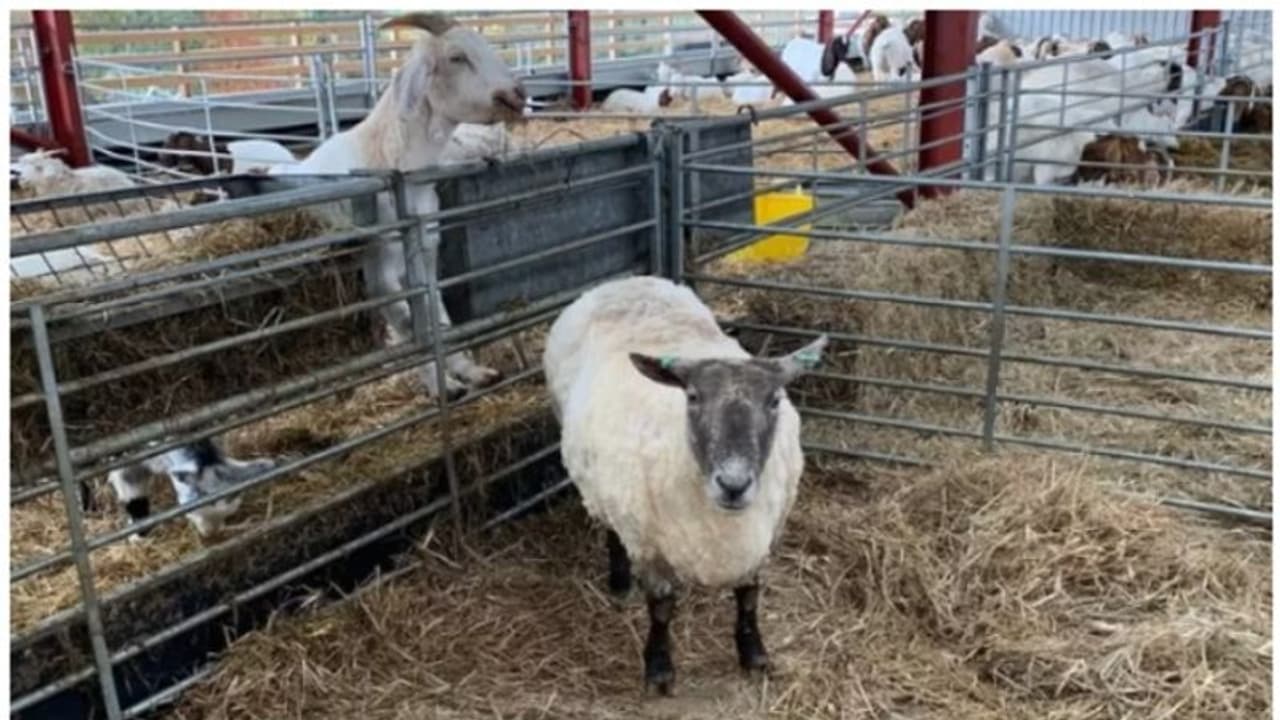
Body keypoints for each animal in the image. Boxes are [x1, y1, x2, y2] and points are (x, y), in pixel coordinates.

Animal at [270, 12, 525, 401]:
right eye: (456, 57)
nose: (516, 93)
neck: (389, 158)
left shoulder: (426, 249)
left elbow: (434, 313)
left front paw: (471, 372)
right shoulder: (379, 266)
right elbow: (407, 322)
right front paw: (445, 385)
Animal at [544, 275, 828, 694]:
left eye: (775, 400)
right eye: (692, 397)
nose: (733, 483)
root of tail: (623, 282)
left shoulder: (764, 536)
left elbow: (749, 596)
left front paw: (753, 654)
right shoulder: (649, 544)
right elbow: (661, 607)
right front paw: (659, 668)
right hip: (610, 489)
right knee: (611, 527)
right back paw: (619, 582)